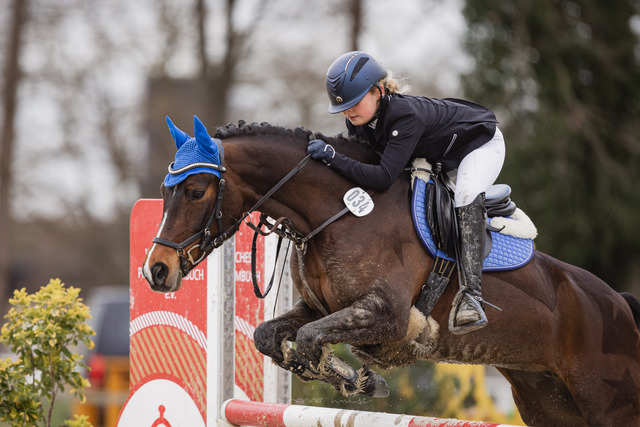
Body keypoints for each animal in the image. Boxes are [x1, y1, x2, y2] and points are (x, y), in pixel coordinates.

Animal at [143, 116, 640, 426]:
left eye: (195, 190)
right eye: (165, 192)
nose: (156, 272)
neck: (339, 212)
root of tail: (618, 304)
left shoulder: (386, 313)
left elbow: (309, 340)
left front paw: (359, 377)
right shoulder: (319, 306)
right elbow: (274, 336)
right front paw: (355, 378)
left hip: (606, 404)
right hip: (546, 399)